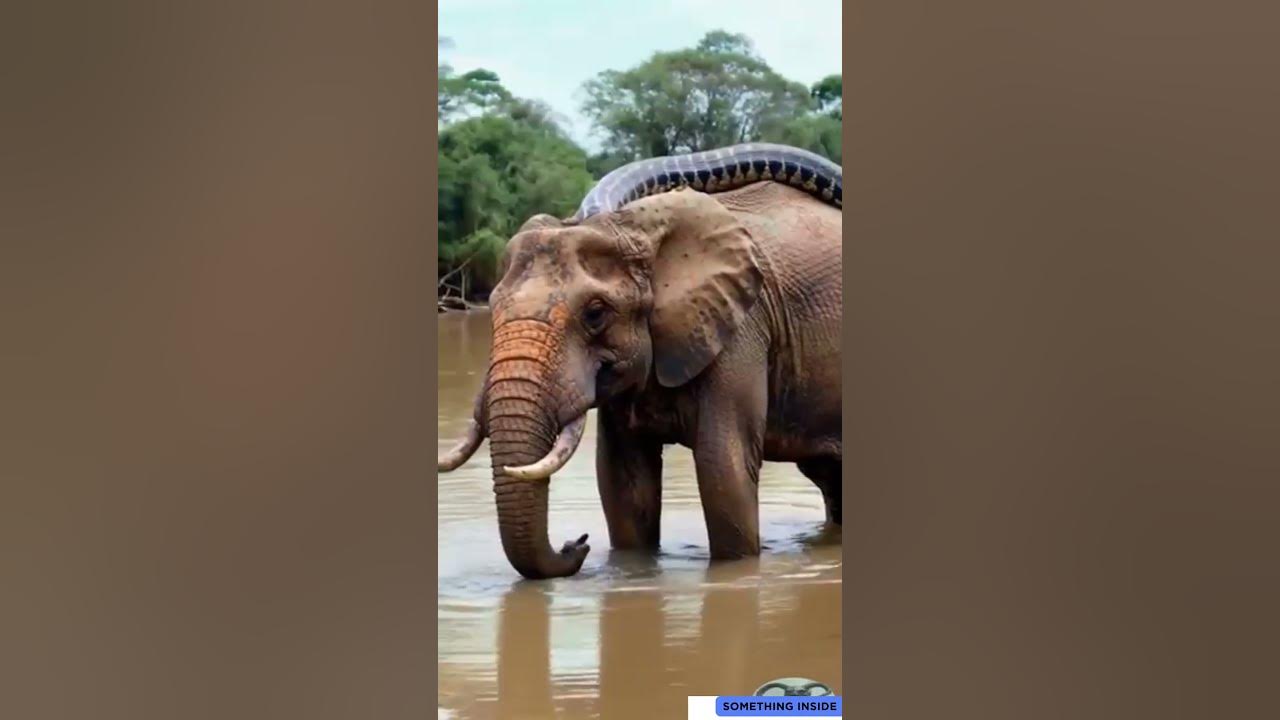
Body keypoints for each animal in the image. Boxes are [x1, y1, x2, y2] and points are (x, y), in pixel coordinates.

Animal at [438, 143, 842, 579]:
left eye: (595, 313)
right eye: (492, 305)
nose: (576, 543)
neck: (628, 225)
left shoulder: (743, 326)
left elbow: (724, 469)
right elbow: (623, 483)